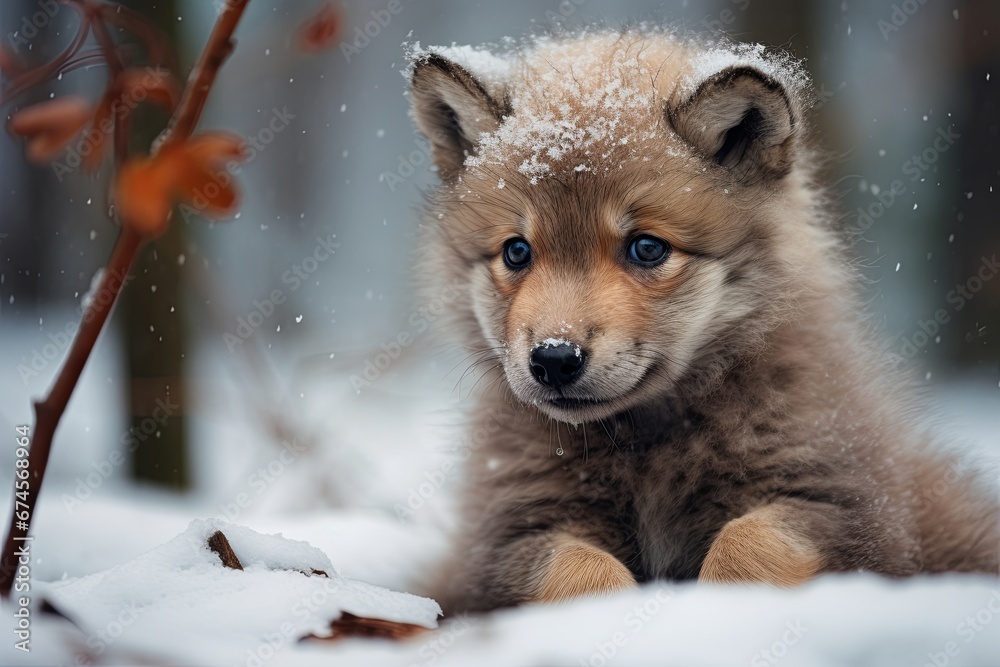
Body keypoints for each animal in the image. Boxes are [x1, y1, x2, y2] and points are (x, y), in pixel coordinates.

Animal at [404, 29, 999, 613]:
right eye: (517, 252)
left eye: (647, 248)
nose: (554, 359)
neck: (649, 446)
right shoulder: (508, 539)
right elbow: (580, 576)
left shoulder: (846, 506)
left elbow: (747, 544)